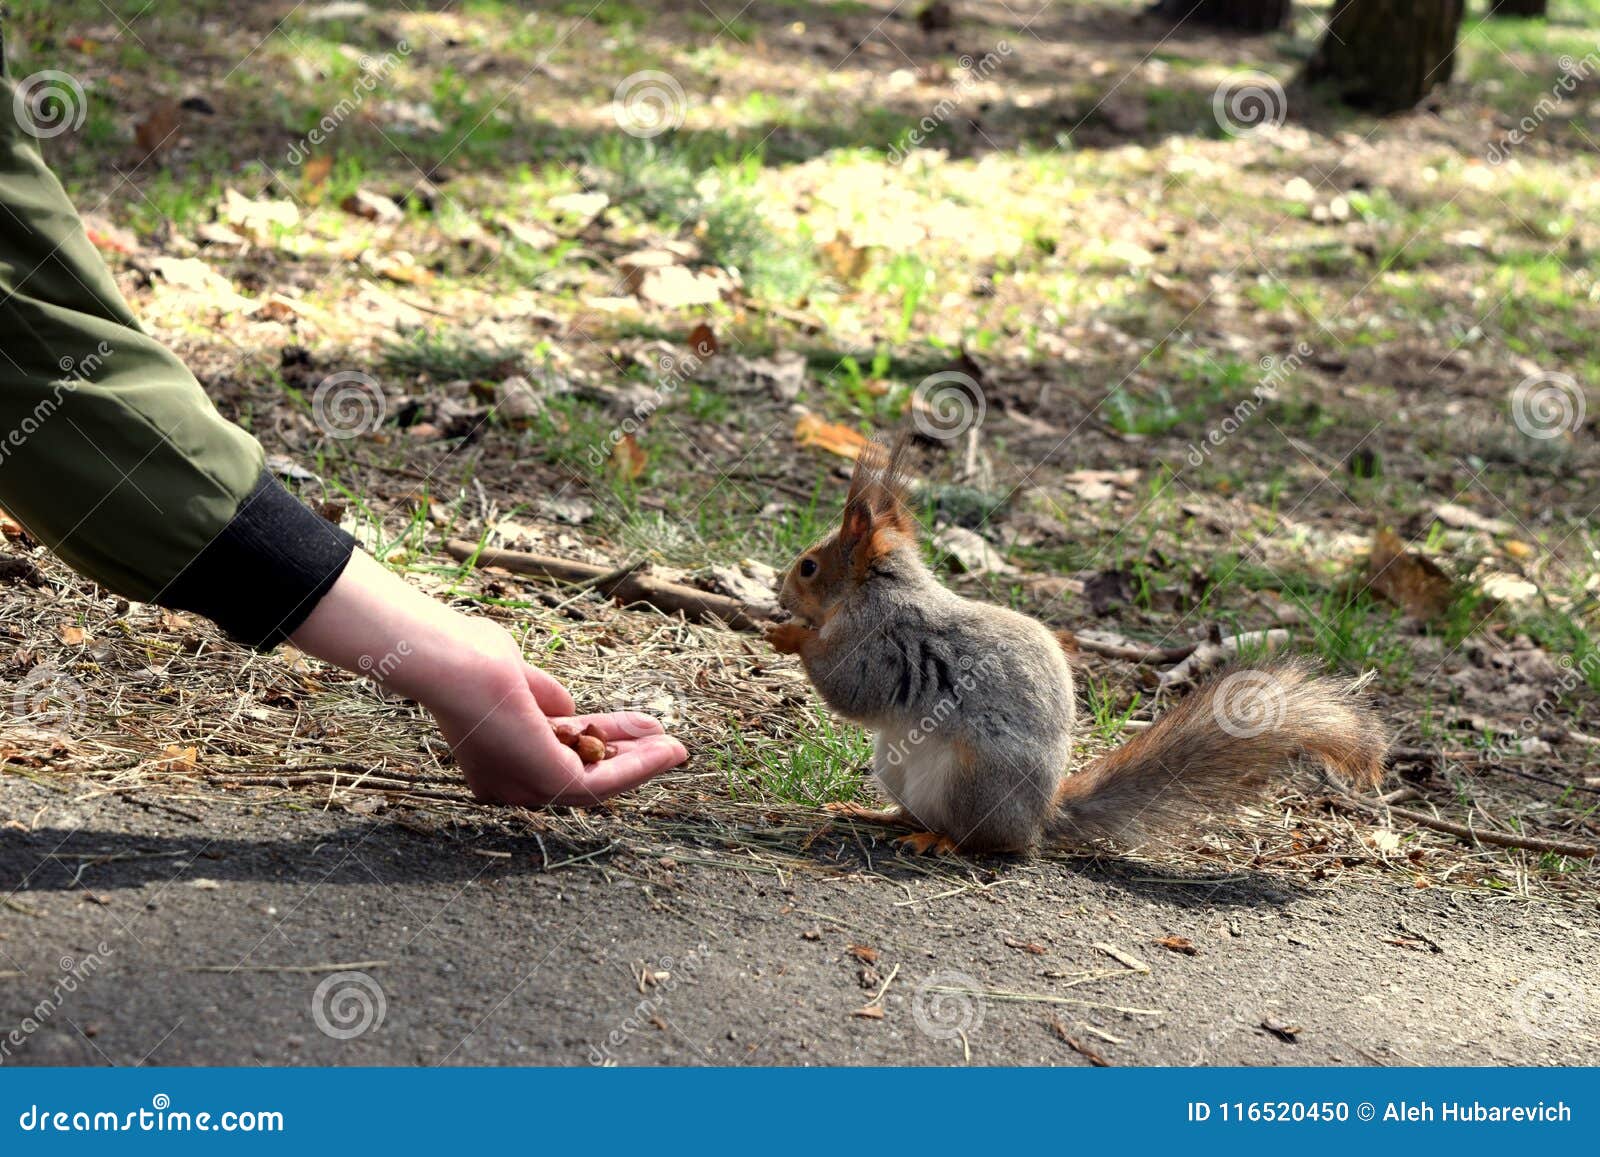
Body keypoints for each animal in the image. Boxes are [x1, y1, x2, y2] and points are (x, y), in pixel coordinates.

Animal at [765, 435, 1389, 855]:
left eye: (809, 566)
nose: (780, 591)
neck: (877, 592)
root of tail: (1039, 818)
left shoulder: (880, 642)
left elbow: (850, 687)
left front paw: (790, 634)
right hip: (896, 767)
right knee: (916, 813)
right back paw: (879, 815)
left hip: (973, 778)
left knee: (984, 842)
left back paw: (942, 842)